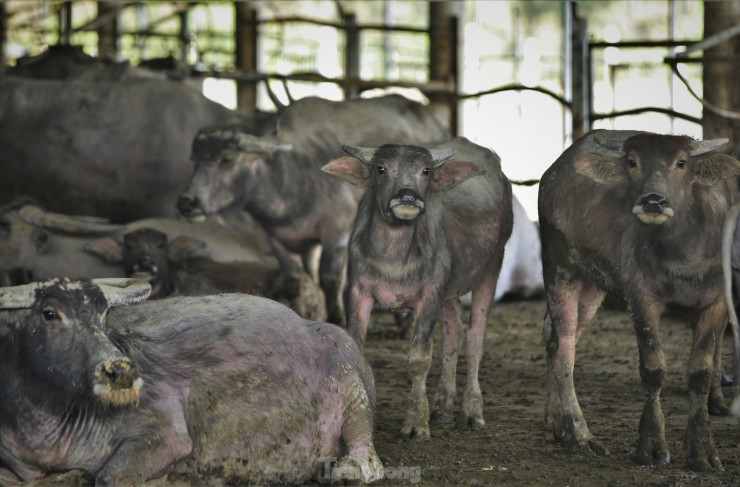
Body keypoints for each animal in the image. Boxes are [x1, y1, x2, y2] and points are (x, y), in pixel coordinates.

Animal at [538, 130, 740, 471]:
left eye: (681, 162)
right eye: (632, 162)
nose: (653, 201)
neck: (681, 253)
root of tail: (553, 174)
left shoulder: (719, 302)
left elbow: (701, 371)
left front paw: (702, 451)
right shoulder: (640, 297)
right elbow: (653, 368)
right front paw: (652, 447)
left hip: (594, 283)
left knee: (560, 338)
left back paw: (559, 425)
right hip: (561, 269)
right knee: (563, 344)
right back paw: (580, 435)